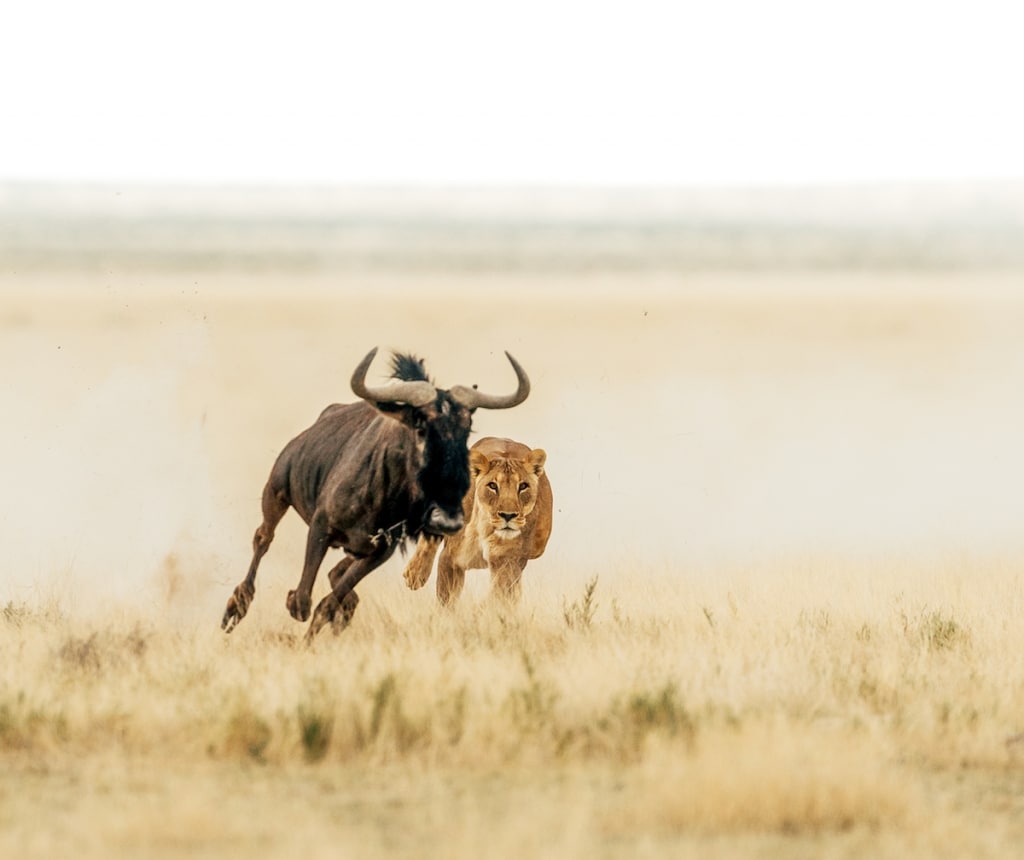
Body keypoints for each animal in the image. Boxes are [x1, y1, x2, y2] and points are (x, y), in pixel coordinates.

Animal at [402, 436, 552, 603]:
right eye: (492, 486)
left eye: (523, 486)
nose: (508, 515)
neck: (486, 528)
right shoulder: (451, 559)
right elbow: (446, 601)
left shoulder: (506, 561)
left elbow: (499, 596)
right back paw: (414, 574)